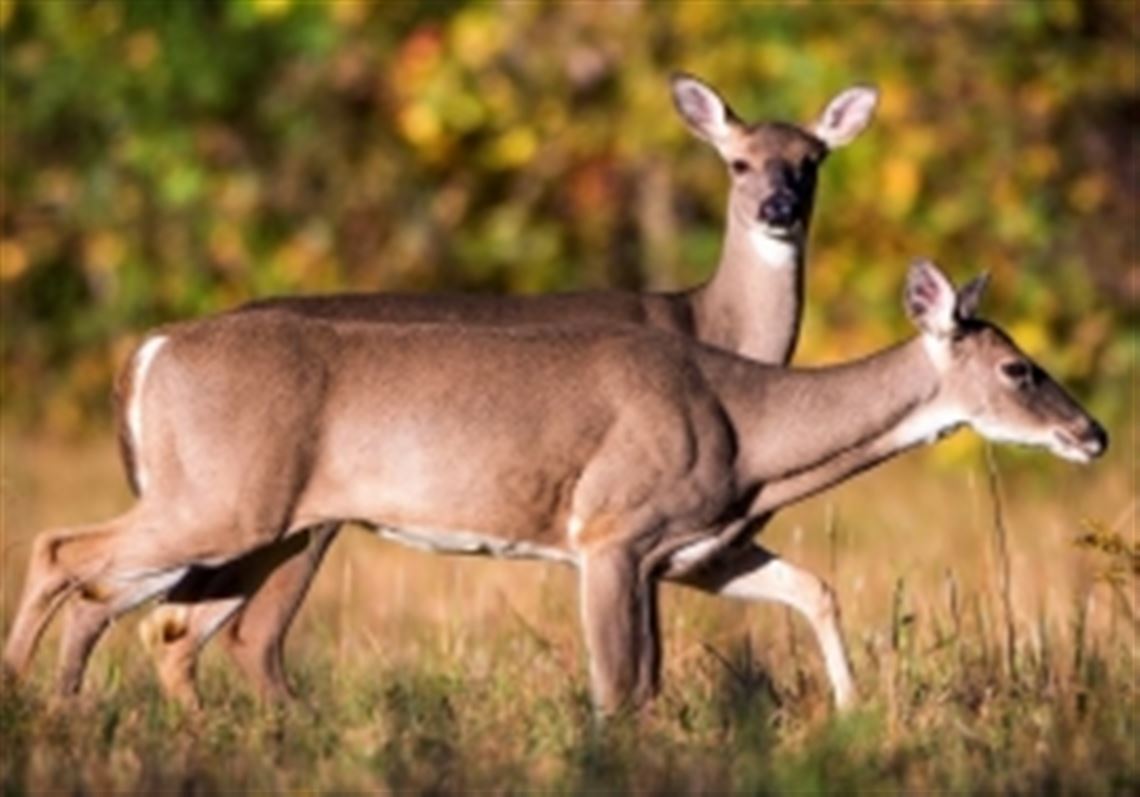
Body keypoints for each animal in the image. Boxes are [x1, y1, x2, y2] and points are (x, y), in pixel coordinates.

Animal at [3, 260, 1107, 718]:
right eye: (1019, 369)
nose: (1092, 433)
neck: (751, 425)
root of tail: (147, 350)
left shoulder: (694, 550)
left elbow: (814, 588)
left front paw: (853, 713)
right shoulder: (611, 529)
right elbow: (620, 682)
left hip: (258, 524)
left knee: (160, 623)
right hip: (226, 503)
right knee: (67, 552)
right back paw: (29, 702)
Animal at [51, 73, 880, 708]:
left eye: (811, 162)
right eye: (738, 163)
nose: (778, 209)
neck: (712, 324)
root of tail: (145, 354)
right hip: (295, 518)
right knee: (233, 630)